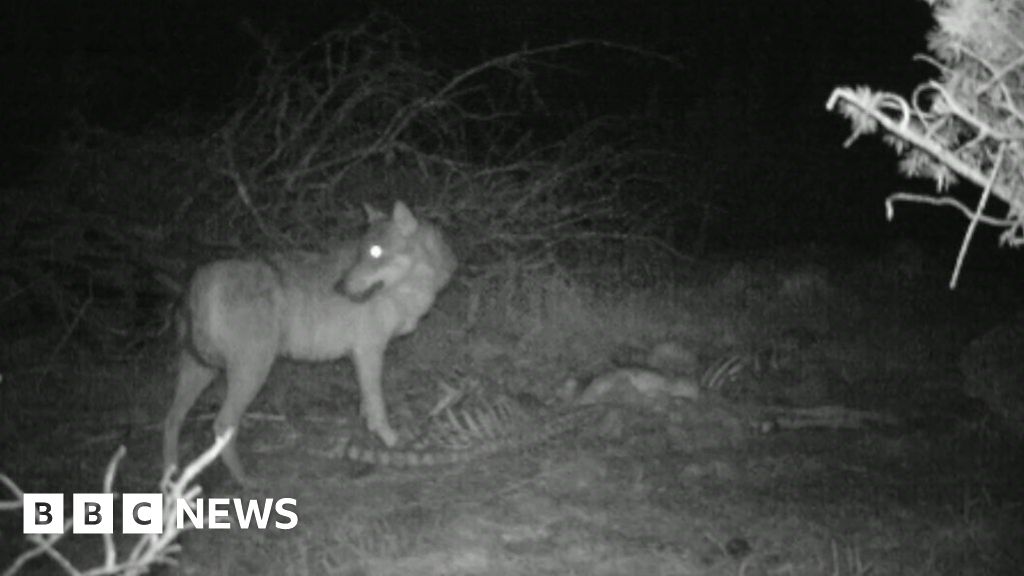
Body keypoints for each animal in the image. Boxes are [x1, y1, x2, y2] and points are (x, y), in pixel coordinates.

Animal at [163, 201, 456, 485]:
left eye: (373, 252)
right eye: (363, 252)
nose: (340, 287)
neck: (406, 292)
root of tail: (200, 280)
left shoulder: (360, 357)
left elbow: (367, 404)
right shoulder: (369, 351)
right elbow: (378, 406)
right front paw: (393, 443)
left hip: (202, 372)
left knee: (171, 420)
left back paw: (171, 480)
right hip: (250, 372)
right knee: (222, 425)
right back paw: (245, 480)